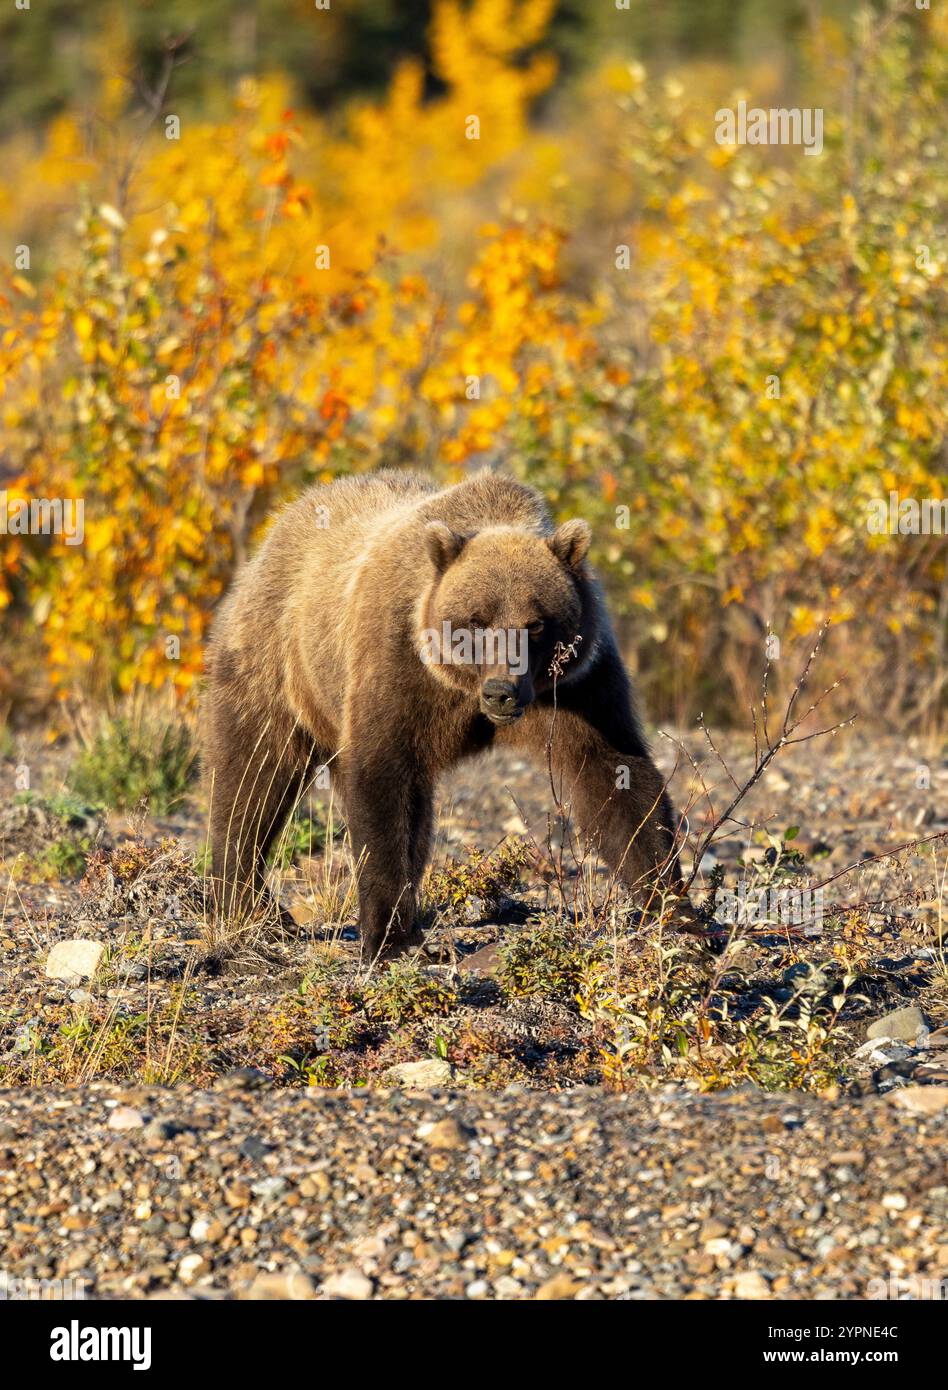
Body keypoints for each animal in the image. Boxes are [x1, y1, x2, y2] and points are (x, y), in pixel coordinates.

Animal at [204, 469, 687, 958]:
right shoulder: (400, 667)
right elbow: (382, 782)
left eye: (535, 623)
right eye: (477, 619)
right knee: (252, 773)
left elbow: (614, 774)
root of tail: (283, 523)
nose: (501, 693)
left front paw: (670, 906)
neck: (463, 687)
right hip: (275, 660)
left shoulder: (577, 684)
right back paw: (250, 905)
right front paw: (389, 935)